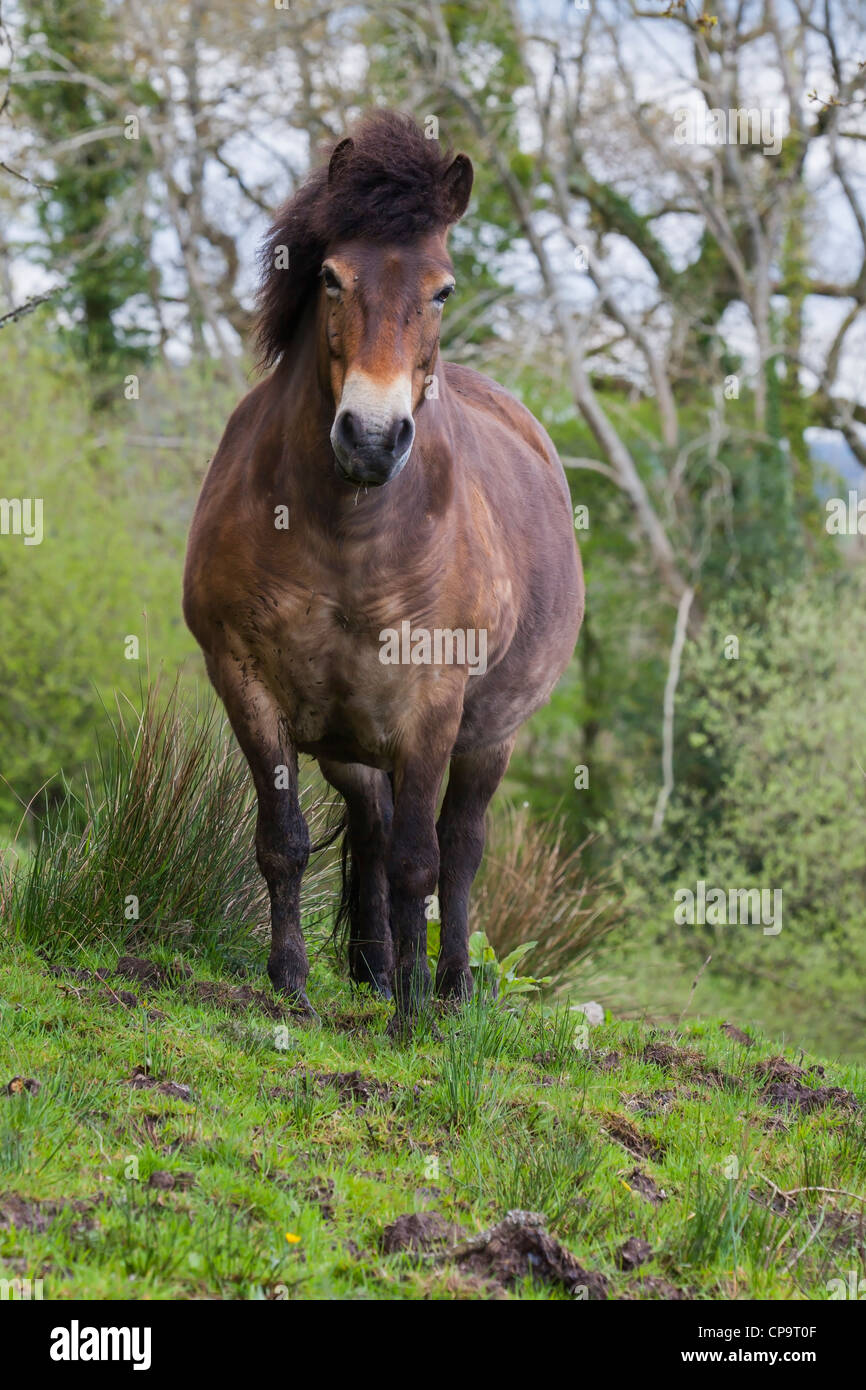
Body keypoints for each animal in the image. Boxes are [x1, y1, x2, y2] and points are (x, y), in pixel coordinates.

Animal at [183, 111, 584, 1028]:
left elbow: (420, 862)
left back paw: (449, 988)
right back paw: (373, 967)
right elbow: (285, 842)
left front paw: (412, 1020)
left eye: (442, 289)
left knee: (459, 848)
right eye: (332, 278)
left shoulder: (433, 706)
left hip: (489, 736)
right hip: (350, 738)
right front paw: (292, 985)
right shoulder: (243, 680)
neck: (348, 534)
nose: (370, 436)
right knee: (369, 824)